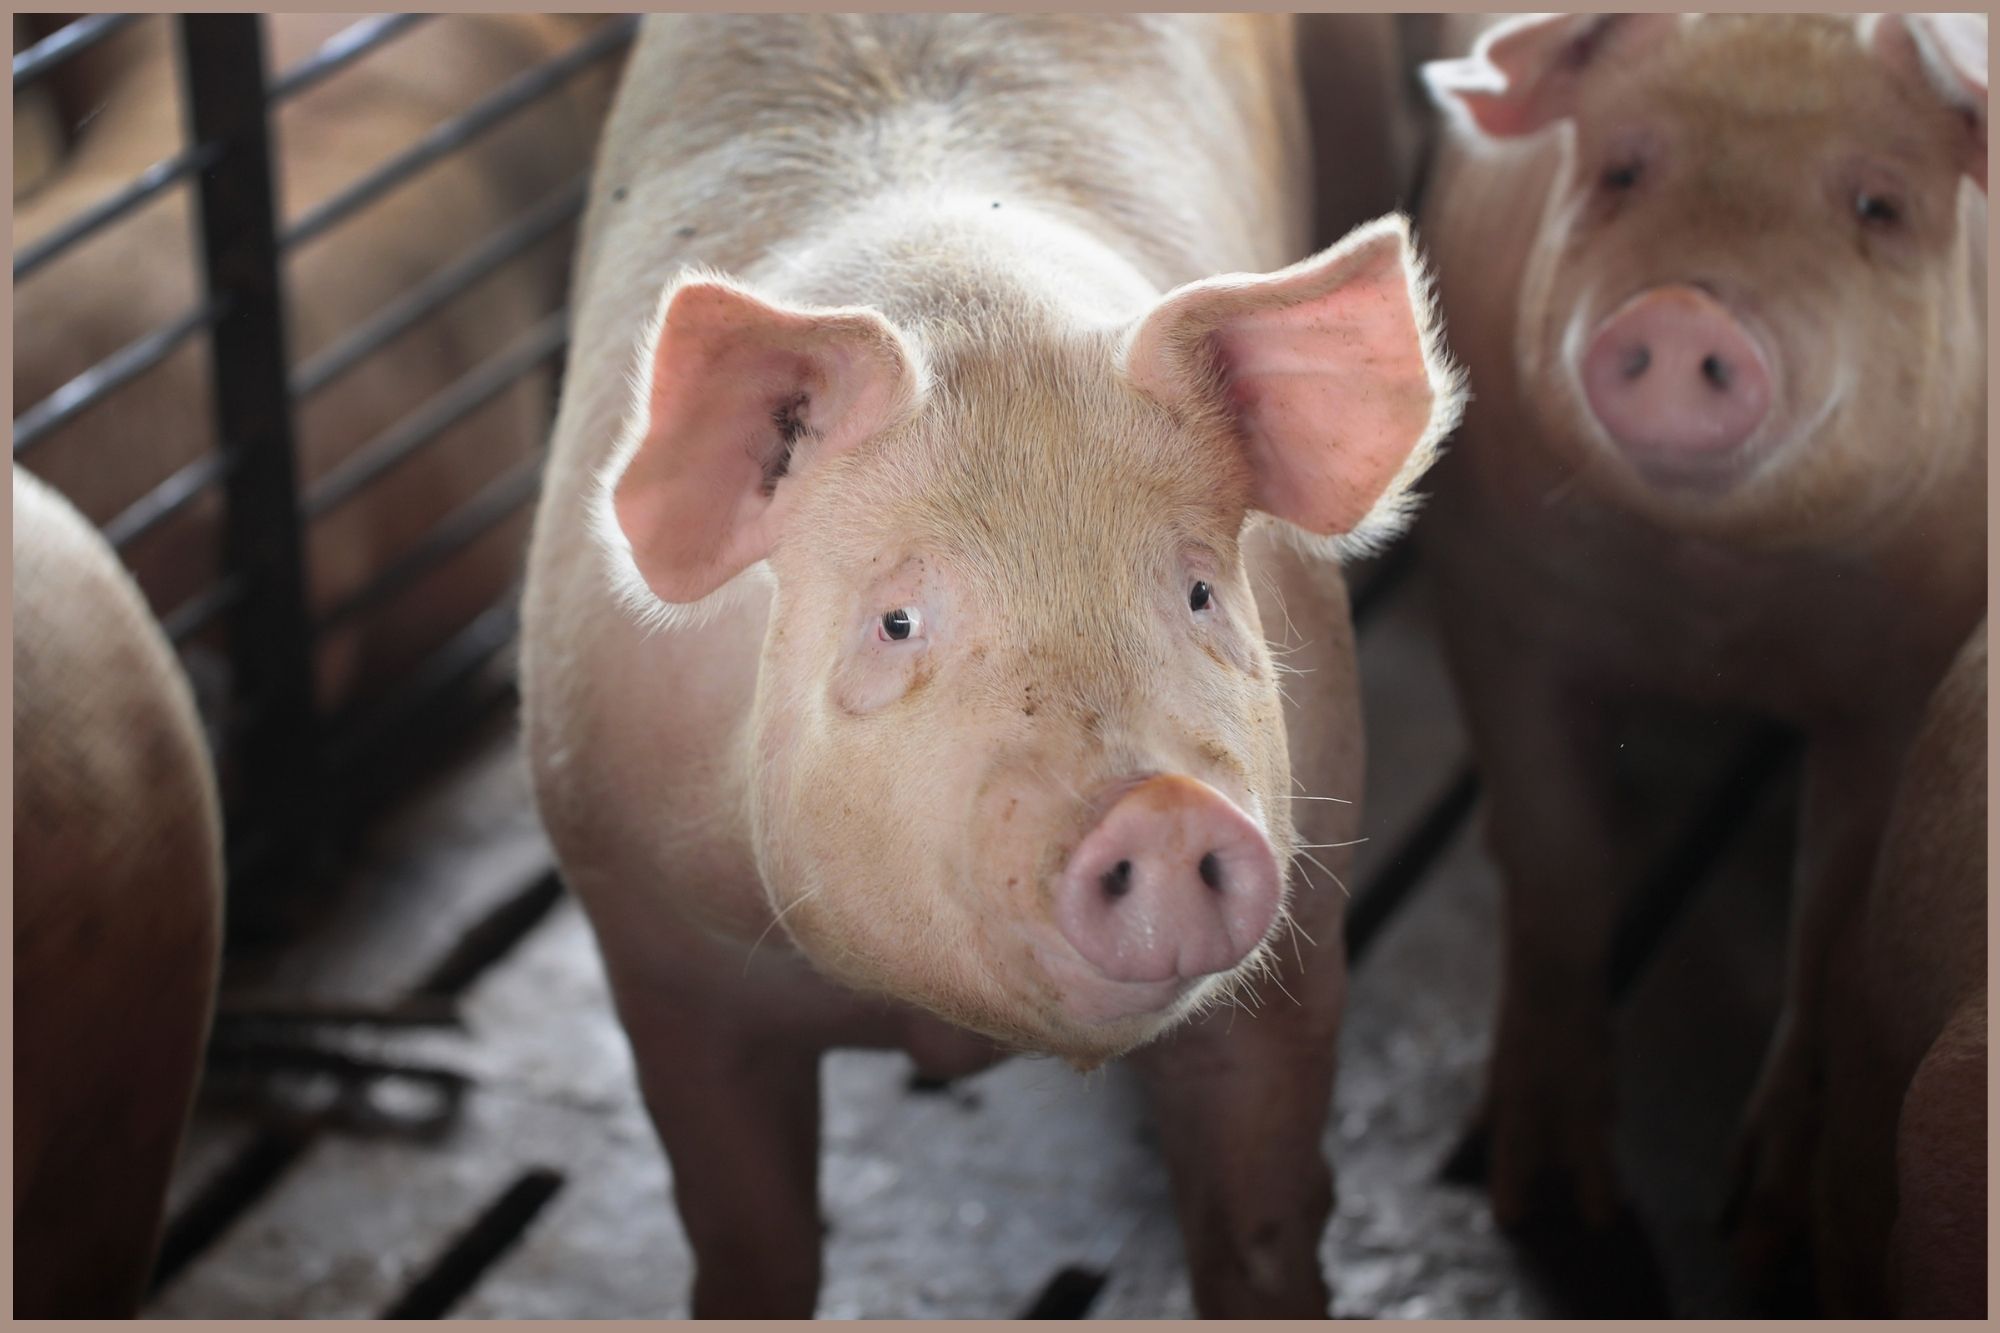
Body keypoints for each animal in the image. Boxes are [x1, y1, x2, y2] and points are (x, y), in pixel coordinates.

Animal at [521, 14, 1463, 1317]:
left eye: (1197, 591)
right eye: (896, 621)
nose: (1162, 808)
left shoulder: (1301, 930)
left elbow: (1261, 1223)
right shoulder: (654, 951)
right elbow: (748, 1237)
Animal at [1413, 10, 1987, 1274]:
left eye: (1877, 205)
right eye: (1623, 168)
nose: (1681, 315)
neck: (1715, 607)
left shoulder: (1903, 671)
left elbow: (1834, 911)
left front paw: (1767, 1232)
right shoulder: (1490, 599)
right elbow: (1561, 860)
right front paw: (1547, 1203)